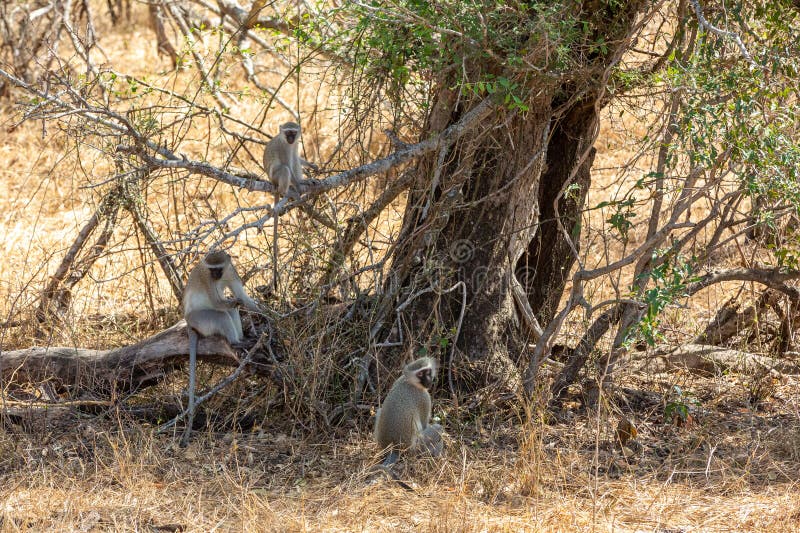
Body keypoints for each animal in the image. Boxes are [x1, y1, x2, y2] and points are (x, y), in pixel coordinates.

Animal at [181, 250, 260, 445]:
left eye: (219, 268)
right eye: (212, 269)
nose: (216, 276)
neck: (219, 277)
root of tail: (188, 322)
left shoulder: (231, 272)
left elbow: (244, 298)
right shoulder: (207, 279)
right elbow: (219, 302)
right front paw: (236, 301)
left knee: (230, 312)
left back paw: (243, 339)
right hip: (201, 320)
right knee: (222, 314)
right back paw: (235, 343)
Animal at [372, 357, 443, 488]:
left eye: (427, 371)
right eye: (420, 374)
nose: (428, 380)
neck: (410, 382)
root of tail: (395, 447)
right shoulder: (423, 398)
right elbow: (425, 425)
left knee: (379, 411)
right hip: (416, 448)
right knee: (438, 429)